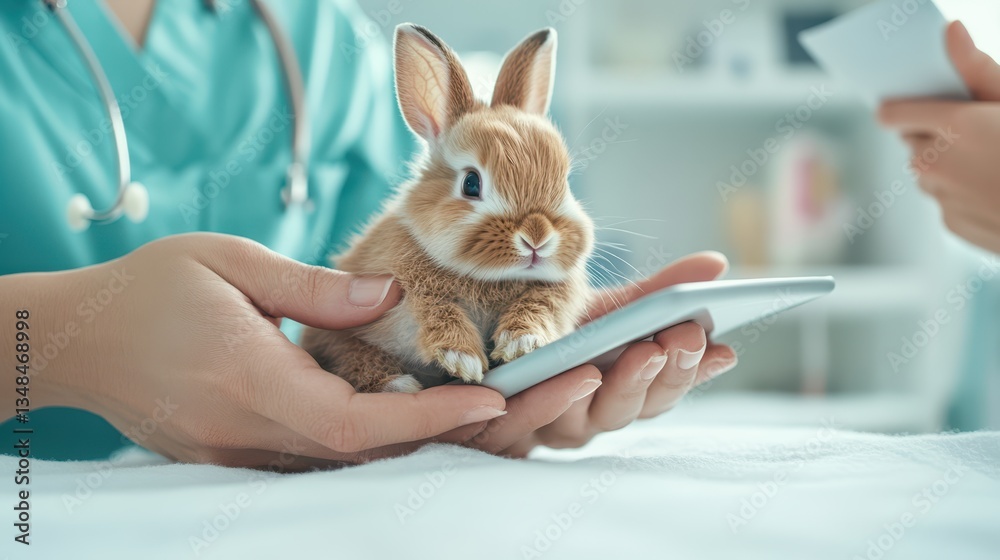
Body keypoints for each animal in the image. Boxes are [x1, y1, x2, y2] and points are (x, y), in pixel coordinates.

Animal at [300, 23, 595, 393]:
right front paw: (463, 358)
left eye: (565, 182)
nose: (537, 237)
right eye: (471, 183)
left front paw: (519, 342)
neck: (490, 279)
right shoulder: (410, 298)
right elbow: (440, 315)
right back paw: (397, 384)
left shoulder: (550, 297)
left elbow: (537, 308)